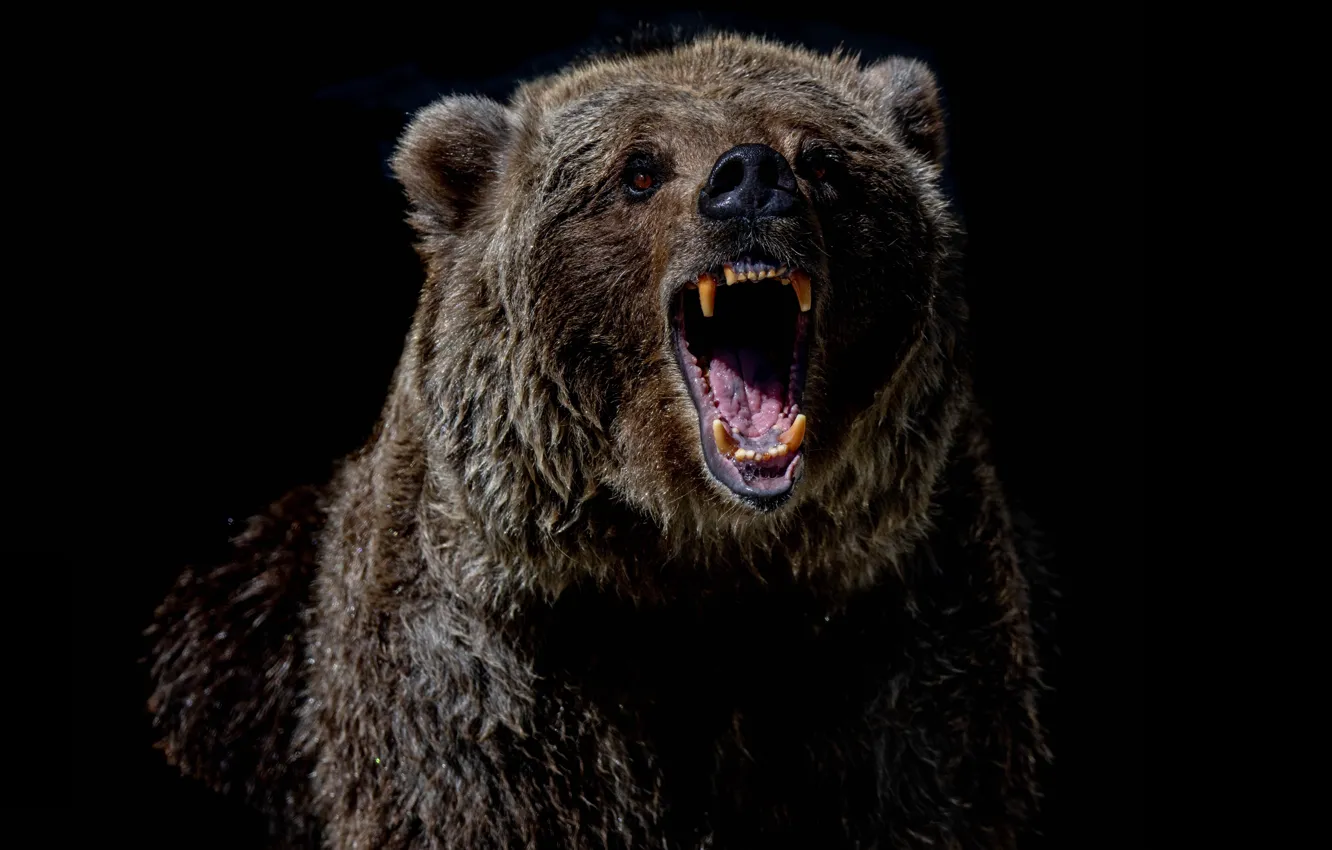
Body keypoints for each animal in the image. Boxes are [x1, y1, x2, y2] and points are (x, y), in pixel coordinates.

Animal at [147, 32, 1049, 849]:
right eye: (638, 169)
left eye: (823, 159)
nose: (751, 178)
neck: (696, 562)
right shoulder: (490, 684)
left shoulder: (899, 645)